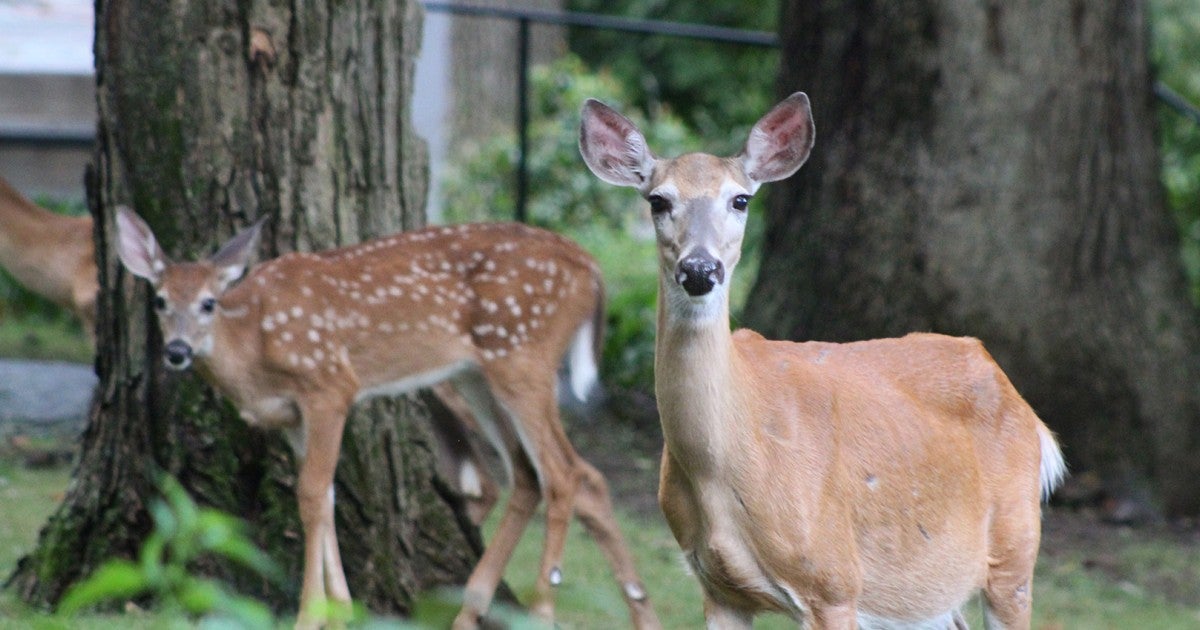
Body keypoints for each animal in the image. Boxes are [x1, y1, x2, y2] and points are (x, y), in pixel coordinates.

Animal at [115, 209, 661, 629]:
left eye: (208, 302)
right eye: (159, 301)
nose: (177, 351)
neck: (253, 348)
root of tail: (591, 267)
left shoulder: (330, 385)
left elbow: (310, 494)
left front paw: (311, 615)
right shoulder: (292, 420)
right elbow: (327, 496)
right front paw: (342, 609)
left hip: (523, 356)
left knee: (564, 473)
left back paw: (542, 612)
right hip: (477, 373)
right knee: (539, 476)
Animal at [580, 92, 1067, 629]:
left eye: (741, 199)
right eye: (658, 200)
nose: (700, 269)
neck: (726, 466)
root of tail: (1026, 412)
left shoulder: (834, 580)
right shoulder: (717, 587)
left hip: (1014, 550)